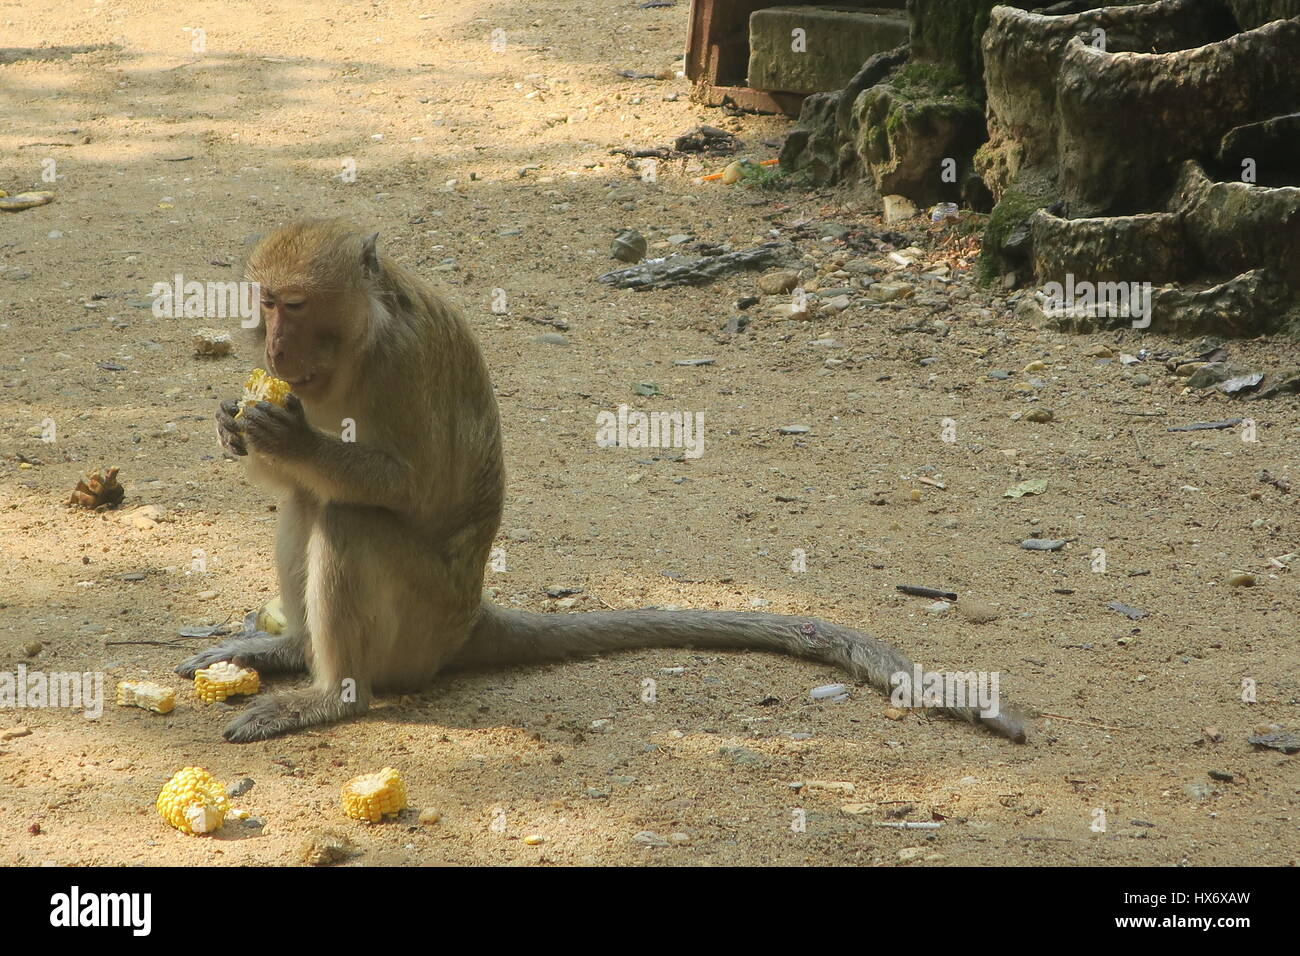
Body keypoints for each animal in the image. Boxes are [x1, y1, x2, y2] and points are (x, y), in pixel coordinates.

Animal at [177, 219, 1028, 745]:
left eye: (294, 305)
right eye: (265, 305)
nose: (273, 349)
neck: (355, 343)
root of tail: (469, 619)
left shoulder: (401, 362)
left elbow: (413, 484)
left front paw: (287, 432)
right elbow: (289, 474)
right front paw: (233, 424)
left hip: (419, 623)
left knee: (347, 516)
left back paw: (333, 694)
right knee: (307, 500)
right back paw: (292, 653)